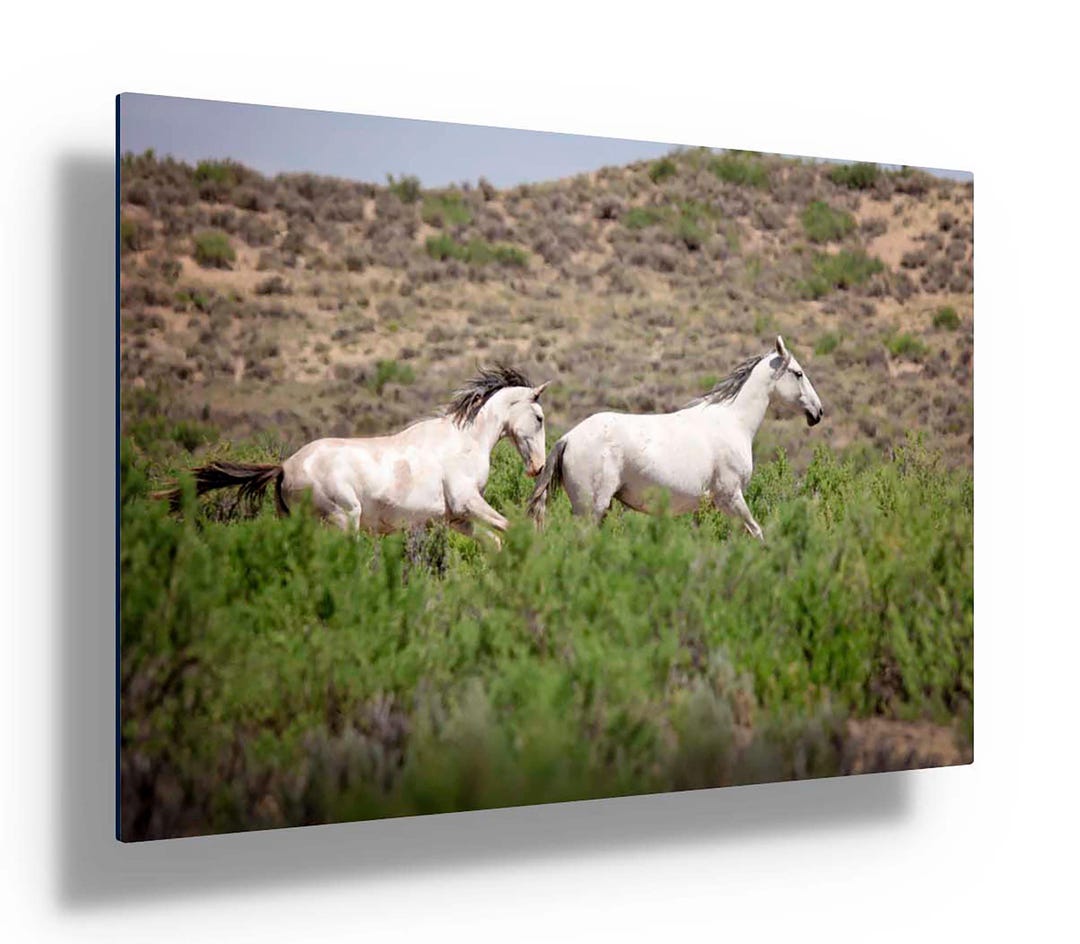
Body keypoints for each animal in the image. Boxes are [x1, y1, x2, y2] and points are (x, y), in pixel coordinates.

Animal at [157, 366, 550, 545]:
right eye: (540, 418)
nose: (539, 467)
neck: (464, 441)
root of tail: (284, 468)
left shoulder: (457, 519)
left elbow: (494, 542)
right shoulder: (468, 503)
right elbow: (510, 527)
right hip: (345, 518)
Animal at [526, 337, 823, 540]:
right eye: (798, 373)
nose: (818, 412)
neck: (733, 421)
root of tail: (568, 438)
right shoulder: (730, 497)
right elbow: (756, 532)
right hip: (591, 509)